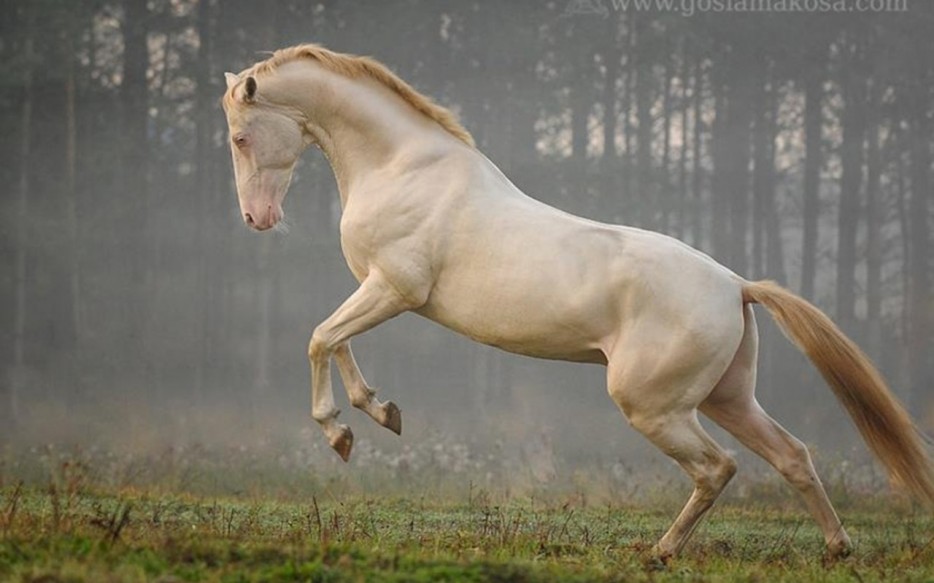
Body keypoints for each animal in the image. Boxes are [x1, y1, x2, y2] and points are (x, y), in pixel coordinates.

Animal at [221, 43, 934, 559]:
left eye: (240, 137)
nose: (257, 219)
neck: (402, 167)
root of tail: (736, 285)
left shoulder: (393, 287)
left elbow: (321, 336)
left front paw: (340, 431)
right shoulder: (378, 287)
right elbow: (339, 341)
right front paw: (377, 413)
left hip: (654, 406)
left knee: (717, 469)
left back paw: (660, 553)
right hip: (728, 399)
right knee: (792, 455)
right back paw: (838, 549)